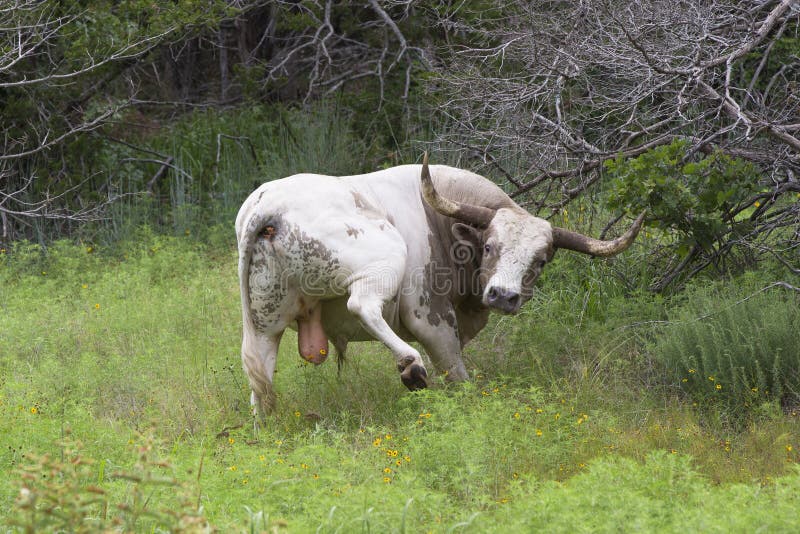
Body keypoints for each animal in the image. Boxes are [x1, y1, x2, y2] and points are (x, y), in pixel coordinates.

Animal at [236, 153, 644, 417]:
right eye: (490, 246)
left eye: (540, 261)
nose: (503, 295)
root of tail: (270, 209)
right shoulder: (432, 319)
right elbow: (457, 374)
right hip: (388, 258)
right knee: (363, 305)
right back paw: (411, 367)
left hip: (265, 320)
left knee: (259, 374)